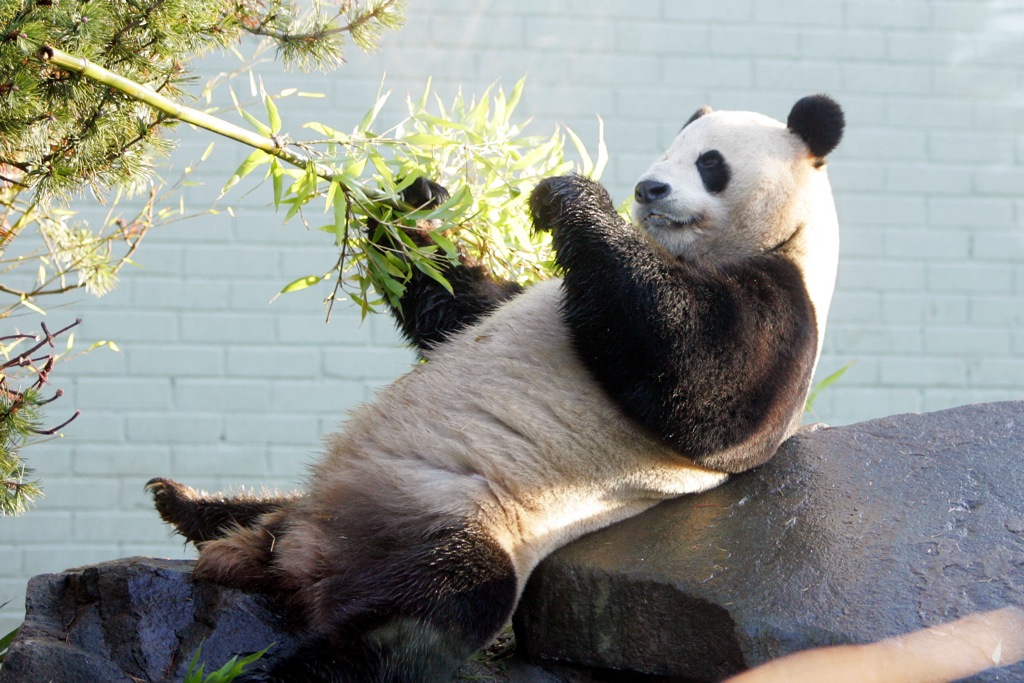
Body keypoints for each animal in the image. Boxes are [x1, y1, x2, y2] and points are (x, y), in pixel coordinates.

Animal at [147, 94, 844, 682]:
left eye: (709, 162)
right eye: (671, 149)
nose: (649, 188)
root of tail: (296, 551)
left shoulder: (785, 314)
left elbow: (705, 390)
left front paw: (569, 197)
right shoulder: (532, 294)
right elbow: (459, 303)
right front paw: (407, 199)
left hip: (449, 513)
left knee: (428, 611)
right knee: (277, 510)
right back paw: (190, 505)